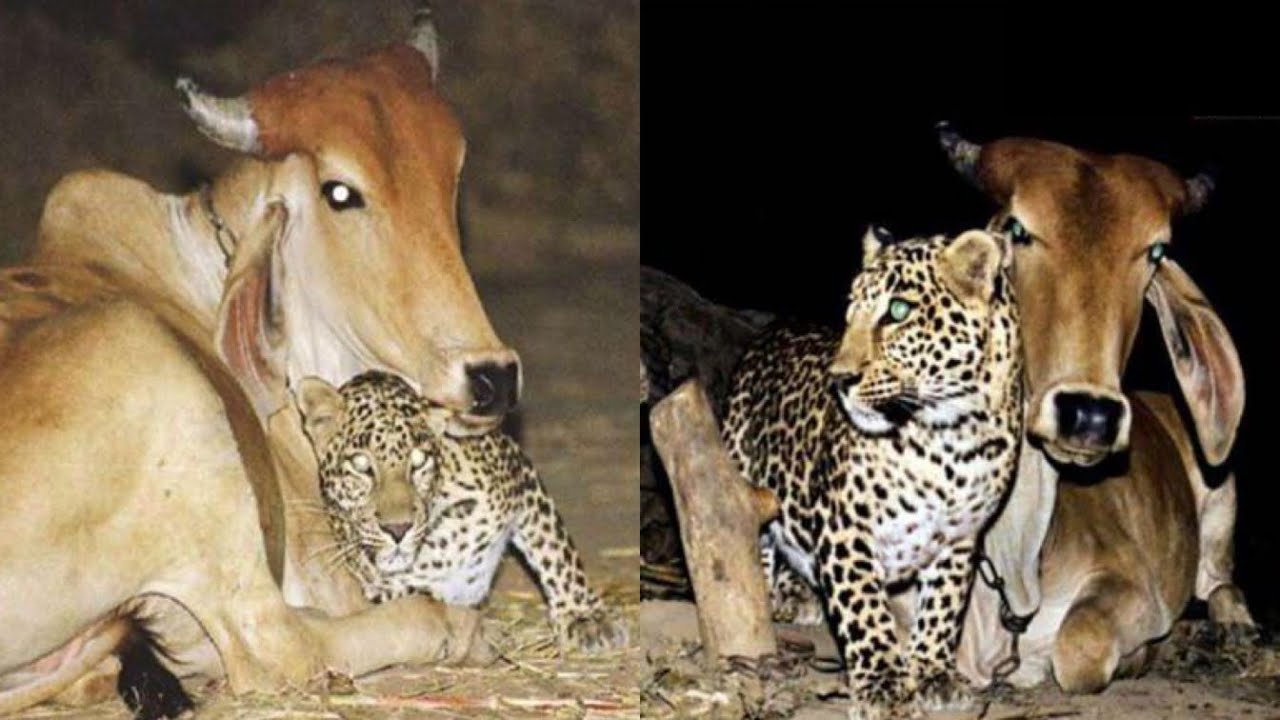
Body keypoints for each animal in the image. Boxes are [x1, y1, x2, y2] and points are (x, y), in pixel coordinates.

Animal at [294, 371, 627, 654]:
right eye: (361, 465)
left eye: (419, 461)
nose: (398, 529)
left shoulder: (520, 474)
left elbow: (555, 550)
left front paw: (585, 617)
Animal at [723, 227, 1024, 719]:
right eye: (850, 312)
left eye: (898, 311)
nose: (839, 378)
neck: (952, 436)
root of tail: (778, 325)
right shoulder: (845, 526)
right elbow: (865, 607)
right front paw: (884, 685)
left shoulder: (962, 536)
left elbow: (943, 607)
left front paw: (934, 674)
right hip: (740, 461)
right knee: (760, 538)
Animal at [932, 124, 1255, 692]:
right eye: (1017, 228)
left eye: (1155, 251)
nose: (1089, 416)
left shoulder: (1129, 582)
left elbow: (1078, 647)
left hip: (1222, 499)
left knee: (1221, 586)